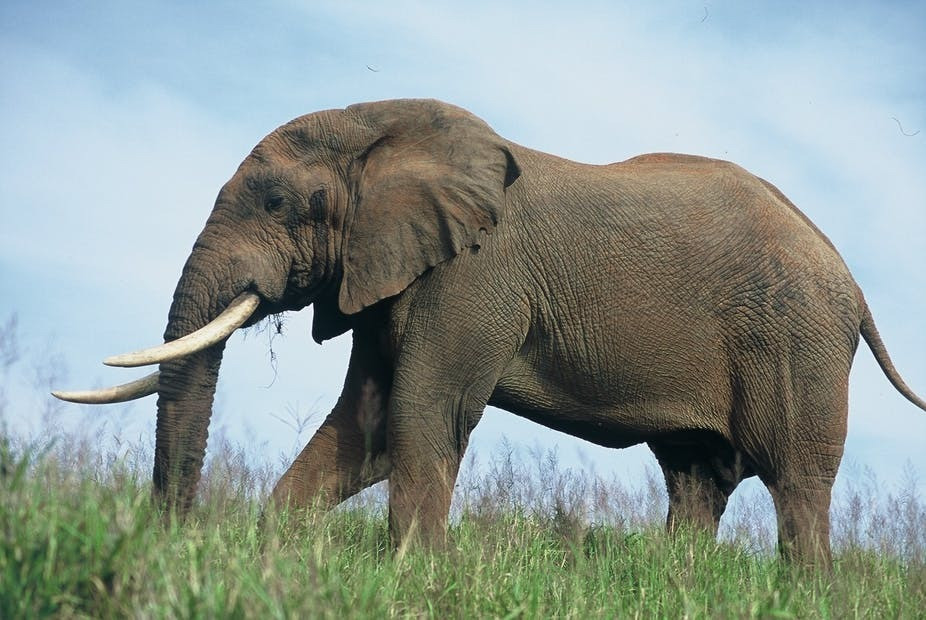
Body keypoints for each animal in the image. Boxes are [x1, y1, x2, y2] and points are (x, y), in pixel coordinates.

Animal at [55, 98, 925, 566]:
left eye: (276, 203)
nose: (174, 537)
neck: (384, 127)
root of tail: (852, 281)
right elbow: (368, 427)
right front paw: (280, 549)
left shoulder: (472, 278)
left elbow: (422, 418)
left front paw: (415, 571)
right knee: (697, 482)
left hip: (797, 341)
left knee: (797, 483)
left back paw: (806, 589)